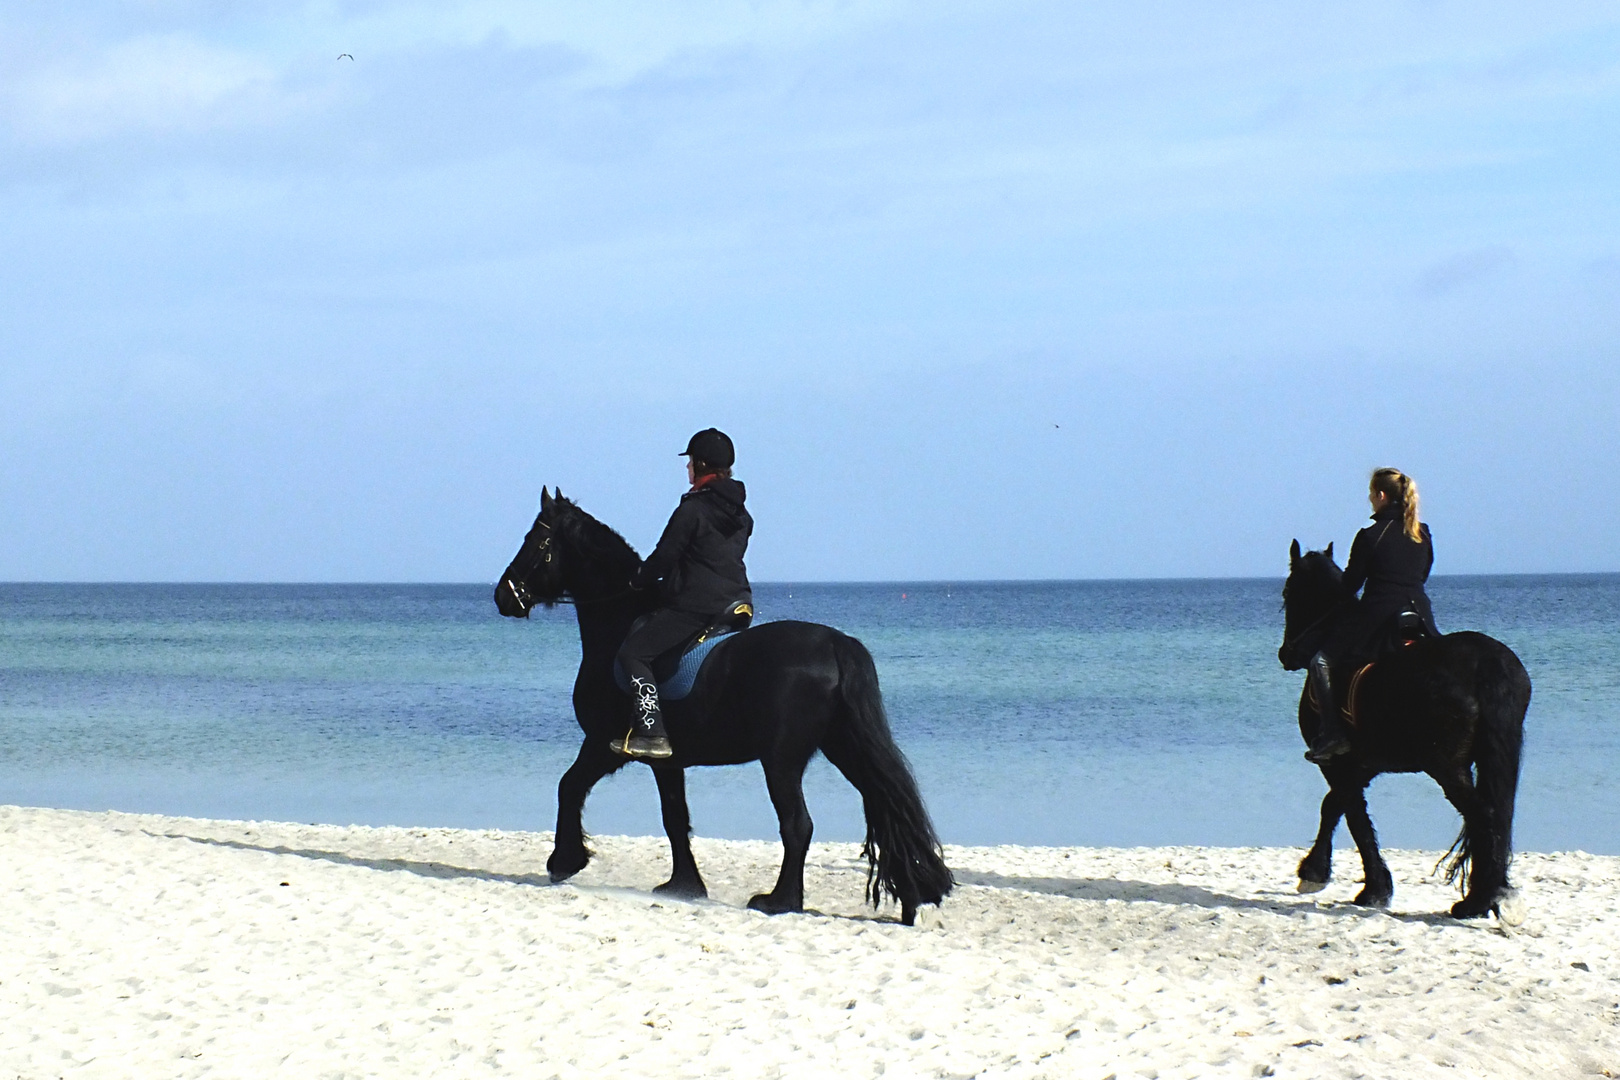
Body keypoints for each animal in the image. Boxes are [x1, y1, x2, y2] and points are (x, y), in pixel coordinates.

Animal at [489, 495, 946, 926]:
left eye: (536, 540)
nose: (502, 596)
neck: (618, 625)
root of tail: (837, 645)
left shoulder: (603, 744)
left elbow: (569, 786)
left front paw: (565, 862)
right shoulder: (666, 761)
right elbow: (675, 817)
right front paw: (684, 885)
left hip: (781, 760)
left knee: (798, 824)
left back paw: (780, 901)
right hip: (844, 748)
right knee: (888, 806)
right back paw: (911, 898)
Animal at [1276, 540, 1529, 919]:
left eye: (1288, 591)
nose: (1286, 654)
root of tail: (1487, 662)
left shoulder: (1337, 763)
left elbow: (1346, 812)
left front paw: (1329, 877)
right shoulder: (1364, 764)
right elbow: (1342, 807)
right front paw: (1367, 885)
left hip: (1447, 768)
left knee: (1484, 816)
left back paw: (1477, 901)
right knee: (1495, 816)